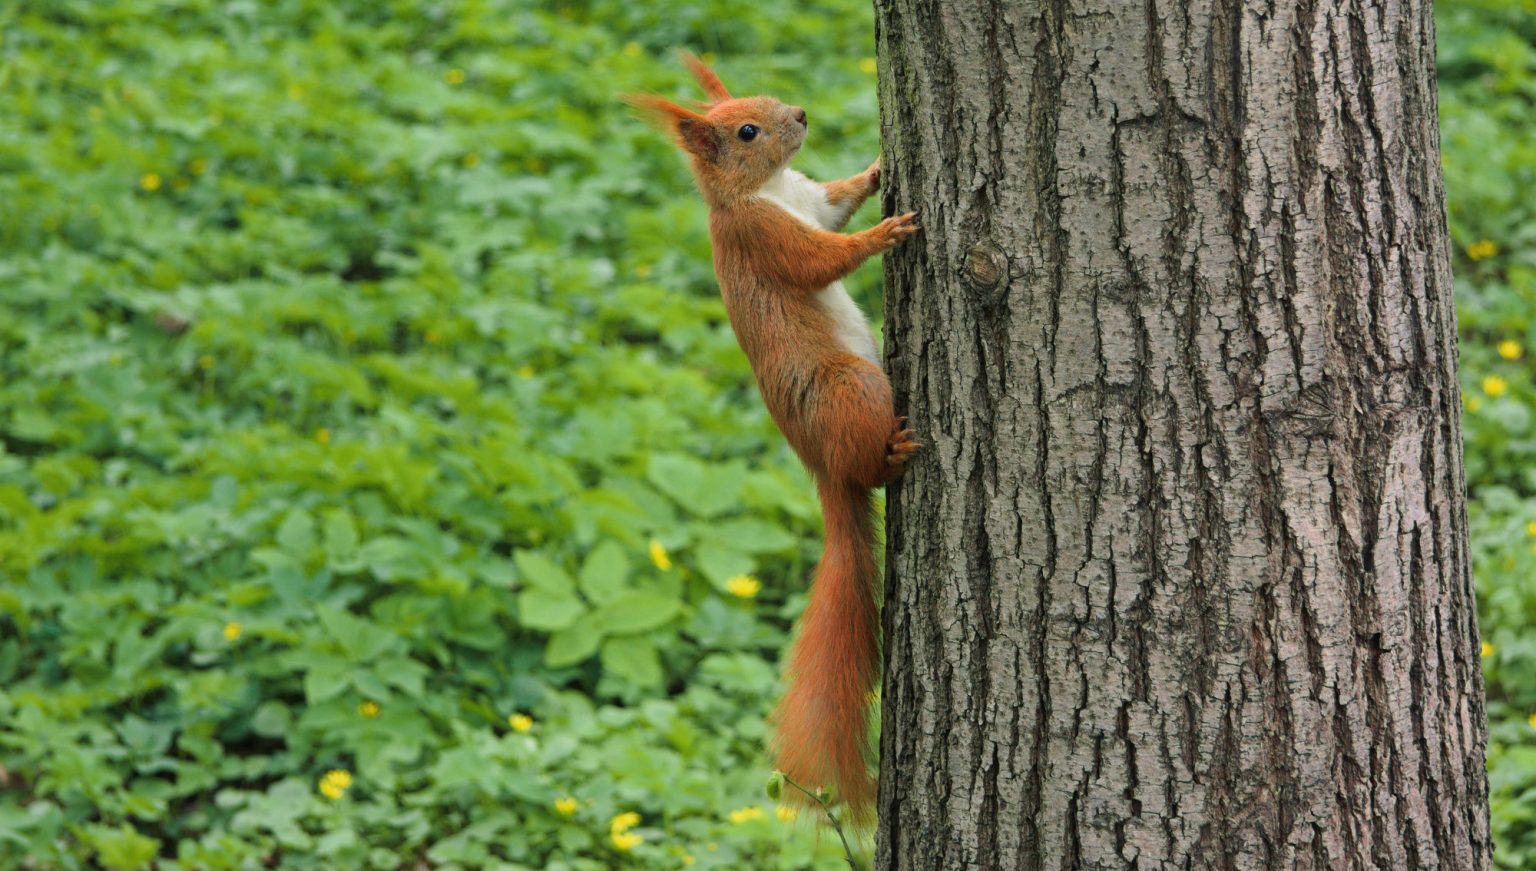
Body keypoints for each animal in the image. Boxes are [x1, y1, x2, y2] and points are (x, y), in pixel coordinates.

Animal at [629, 54, 920, 826]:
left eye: (761, 100)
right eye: (747, 131)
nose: (802, 115)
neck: (768, 190)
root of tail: (821, 468)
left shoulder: (810, 202)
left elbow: (837, 201)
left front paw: (875, 172)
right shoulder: (765, 237)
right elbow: (823, 260)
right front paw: (884, 235)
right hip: (852, 386)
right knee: (869, 467)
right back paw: (892, 456)